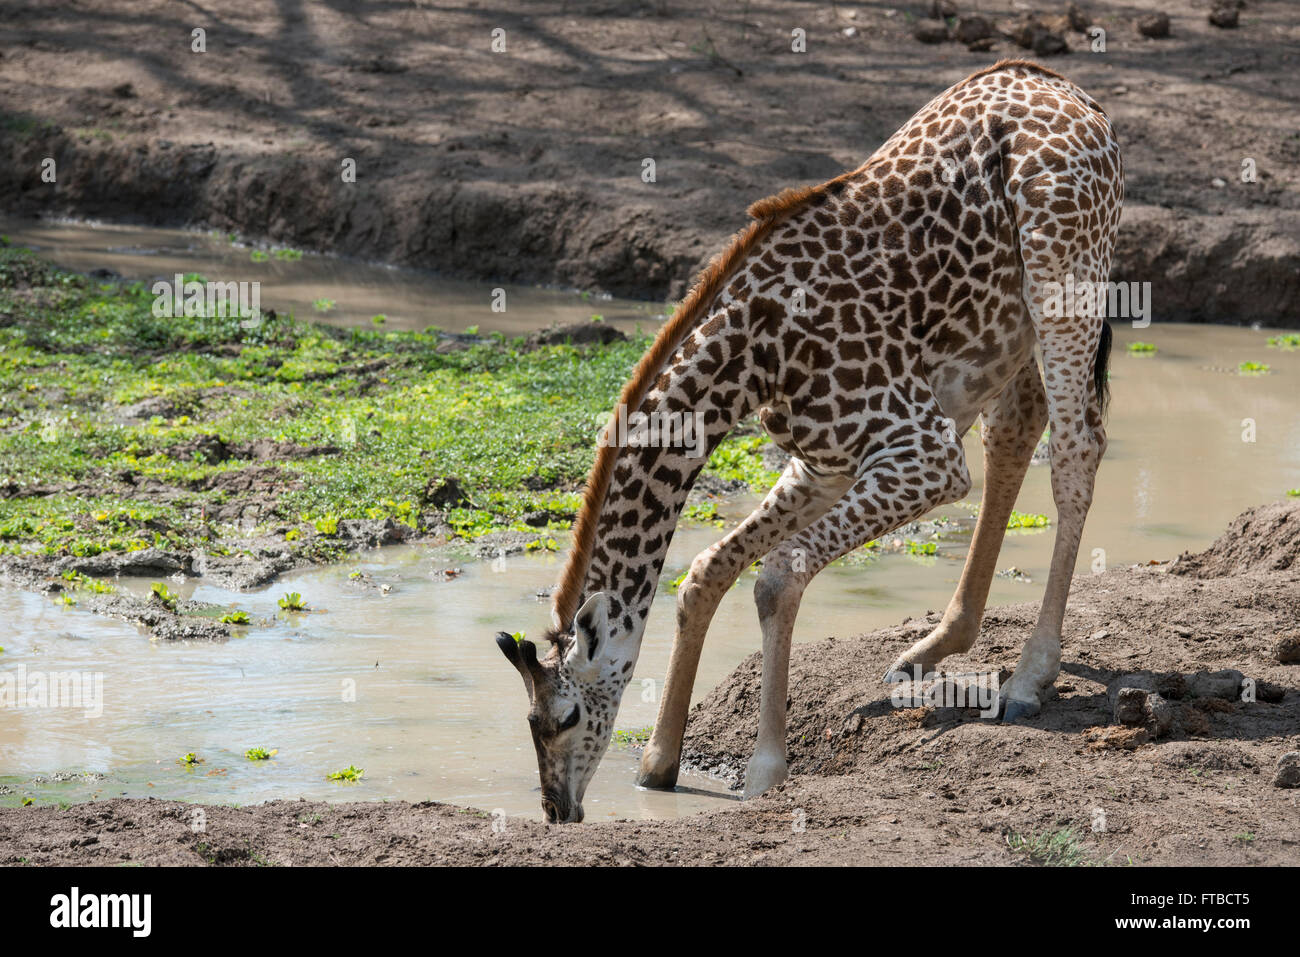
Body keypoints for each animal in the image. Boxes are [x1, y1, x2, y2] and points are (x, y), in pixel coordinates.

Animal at [496, 59, 1122, 821]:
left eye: (563, 717)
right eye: (528, 720)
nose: (559, 808)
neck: (750, 361)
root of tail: (1064, 86)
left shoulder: (927, 456)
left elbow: (777, 577)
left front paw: (765, 771)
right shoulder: (827, 461)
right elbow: (706, 572)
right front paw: (659, 764)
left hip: (1065, 276)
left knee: (1077, 449)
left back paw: (1031, 678)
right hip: (1002, 337)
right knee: (1017, 432)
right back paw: (931, 649)